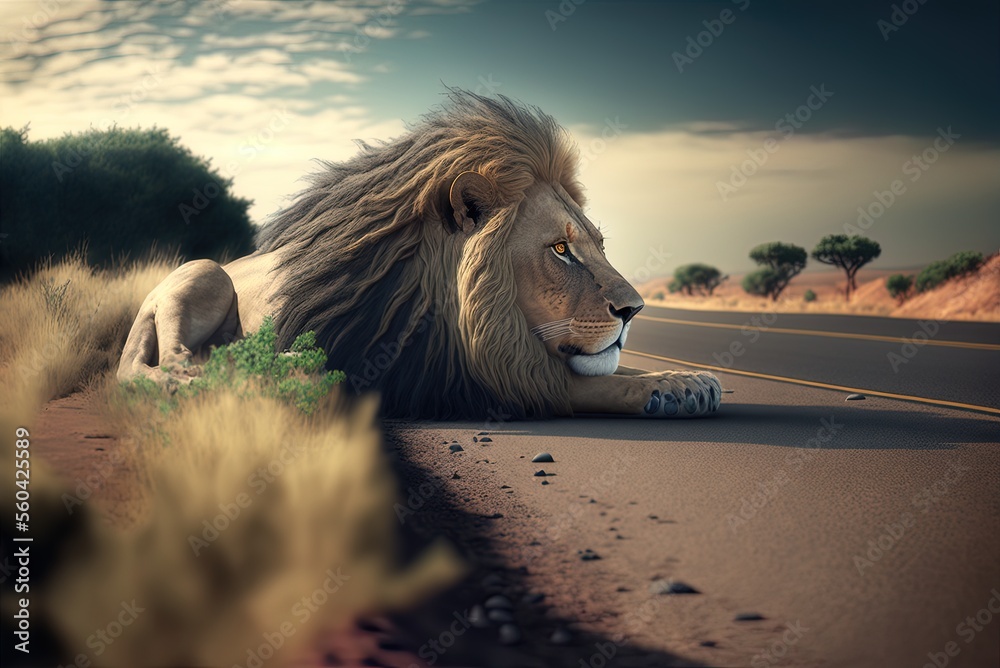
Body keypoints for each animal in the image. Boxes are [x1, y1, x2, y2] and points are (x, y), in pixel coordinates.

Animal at [118, 90, 722, 419]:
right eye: (560, 250)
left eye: (597, 244)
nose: (634, 310)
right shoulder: (437, 377)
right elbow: (581, 383)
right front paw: (674, 385)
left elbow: (610, 371)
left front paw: (687, 381)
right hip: (202, 271)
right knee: (162, 366)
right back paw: (248, 364)